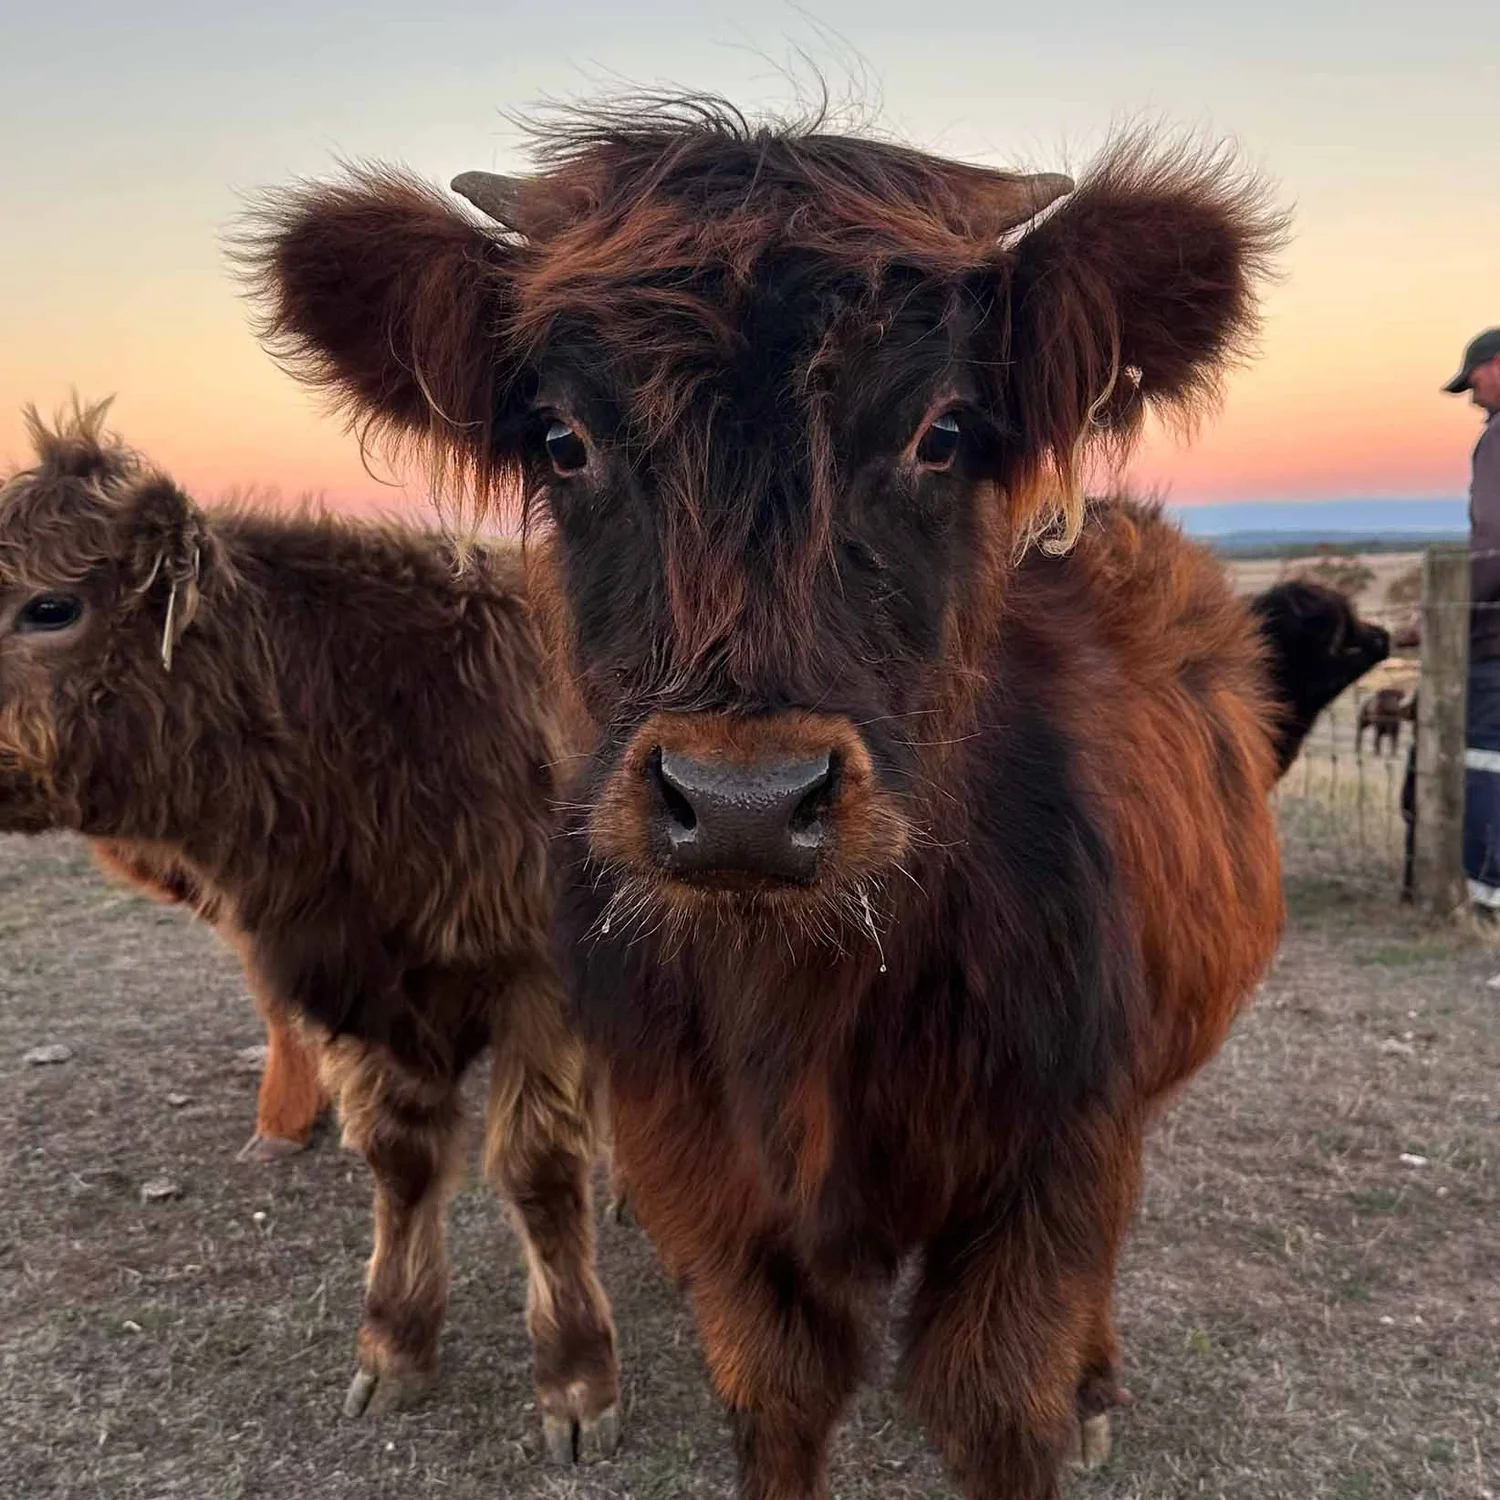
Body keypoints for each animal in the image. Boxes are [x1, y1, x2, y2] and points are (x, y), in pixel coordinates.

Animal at [0, 404, 619, 1460]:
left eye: (48, 608)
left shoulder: (541, 983)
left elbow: (537, 1169)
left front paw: (576, 1382)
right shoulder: (352, 989)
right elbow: (400, 1159)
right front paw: (394, 1346)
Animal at [245, 99, 1287, 1499]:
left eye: (942, 431)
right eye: (564, 440)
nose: (742, 801)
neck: (808, 1001)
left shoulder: (1052, 1171)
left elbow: (1000, 1404)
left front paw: (1062, 1401)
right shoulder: (708, 1193)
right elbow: (778, 1396)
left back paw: (1095, 1387)